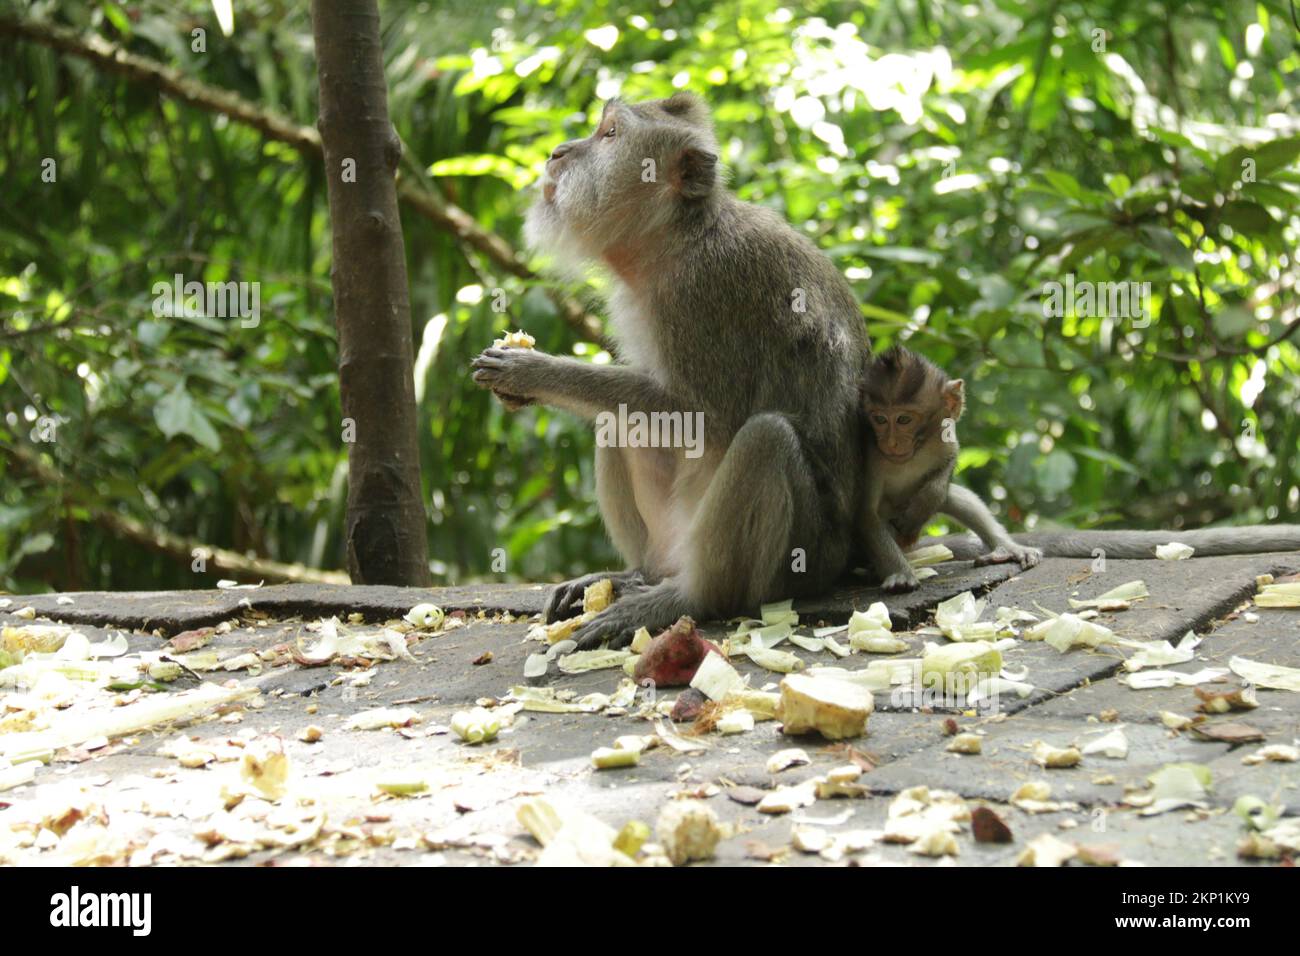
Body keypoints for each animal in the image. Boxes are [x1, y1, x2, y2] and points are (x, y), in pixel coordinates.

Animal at [471, 92, 868, 649]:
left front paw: (532, 373)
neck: (673, 239)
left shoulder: (703, 290)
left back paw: (688, 598)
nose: (557, 152)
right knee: (615, 419)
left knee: (765, 438)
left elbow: (697, 413)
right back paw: (636, 575)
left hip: (804, 559)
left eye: (610, 134)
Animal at [857, 346, 1300, 585]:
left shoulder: (944, 437)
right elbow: (866, 515)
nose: (891, 443)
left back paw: (1007, 549)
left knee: (960, 498)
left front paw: (924, 503)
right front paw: (900, 573)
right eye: (879, 418)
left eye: (904, 419)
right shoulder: (868, 455)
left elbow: (942, 478)